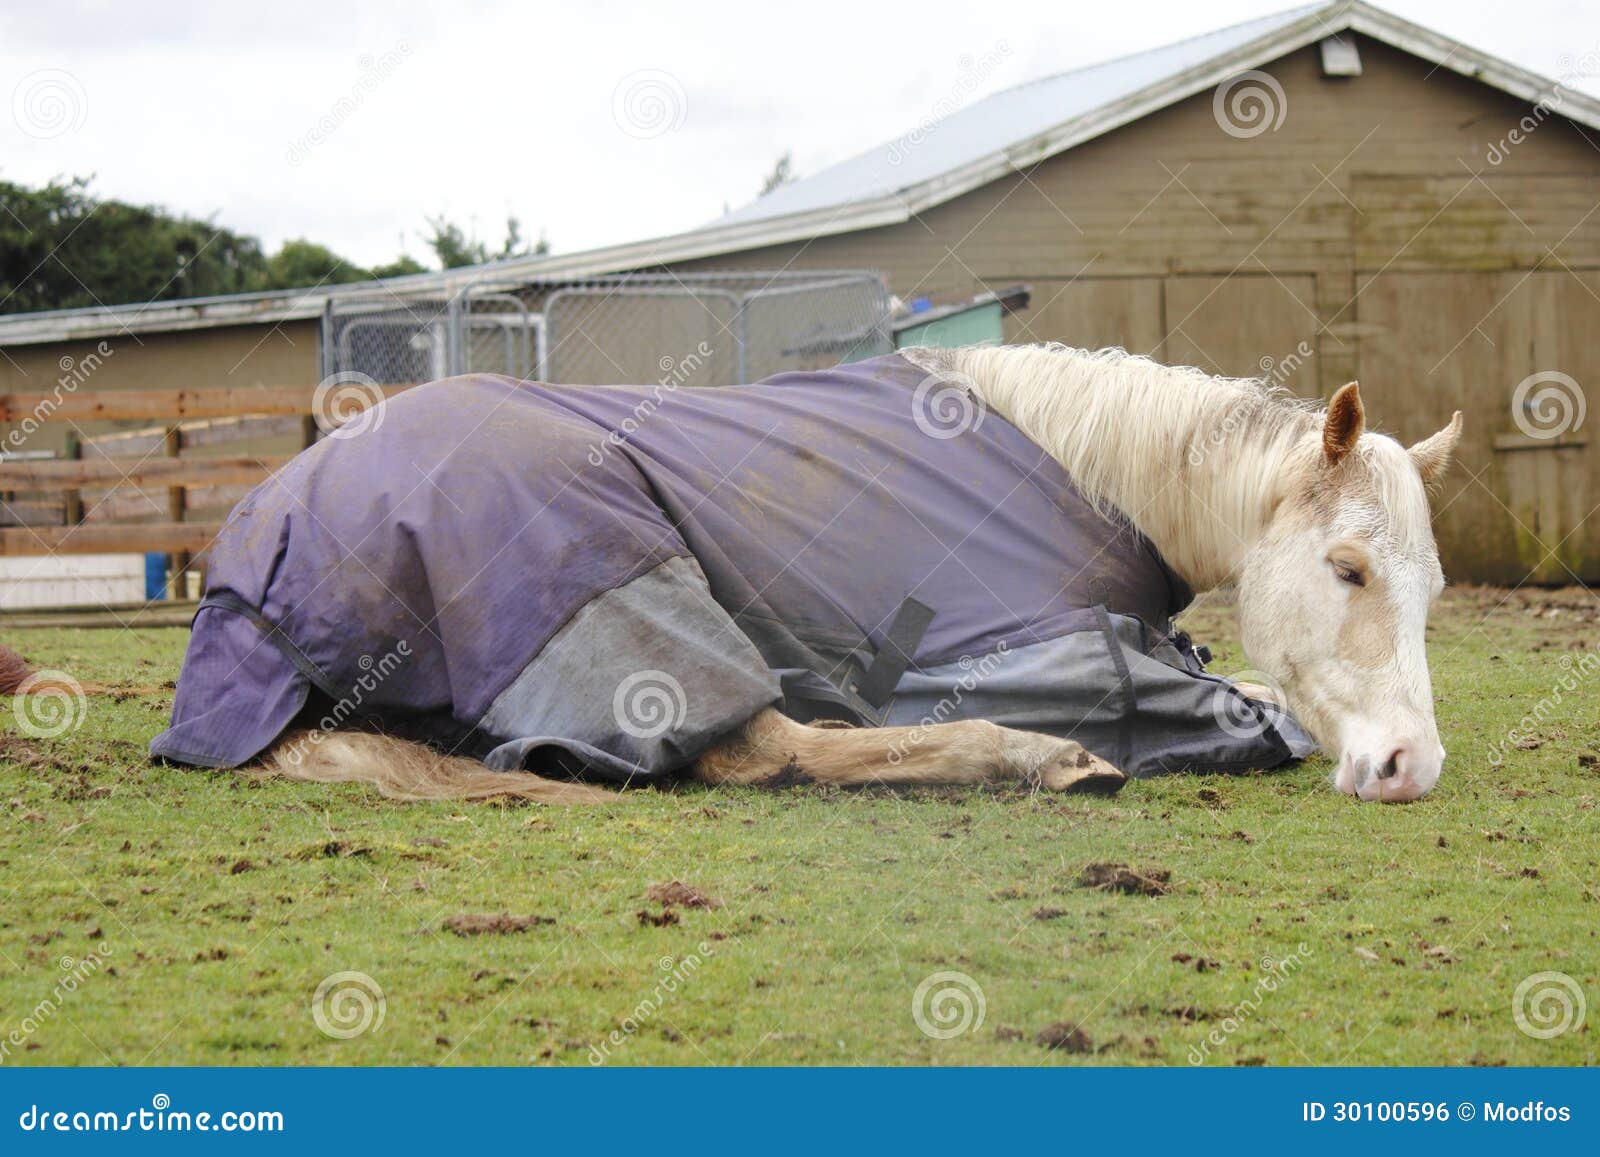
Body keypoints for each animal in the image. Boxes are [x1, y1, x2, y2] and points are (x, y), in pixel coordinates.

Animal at [146, 343, 1461, 805]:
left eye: (1431, 590)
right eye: (1348, 568)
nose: (1410, 765)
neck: (1090, 474)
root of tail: (258, 546)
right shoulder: (1007, 646)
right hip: (627, 587)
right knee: (758, 741)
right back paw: (1038, 758)